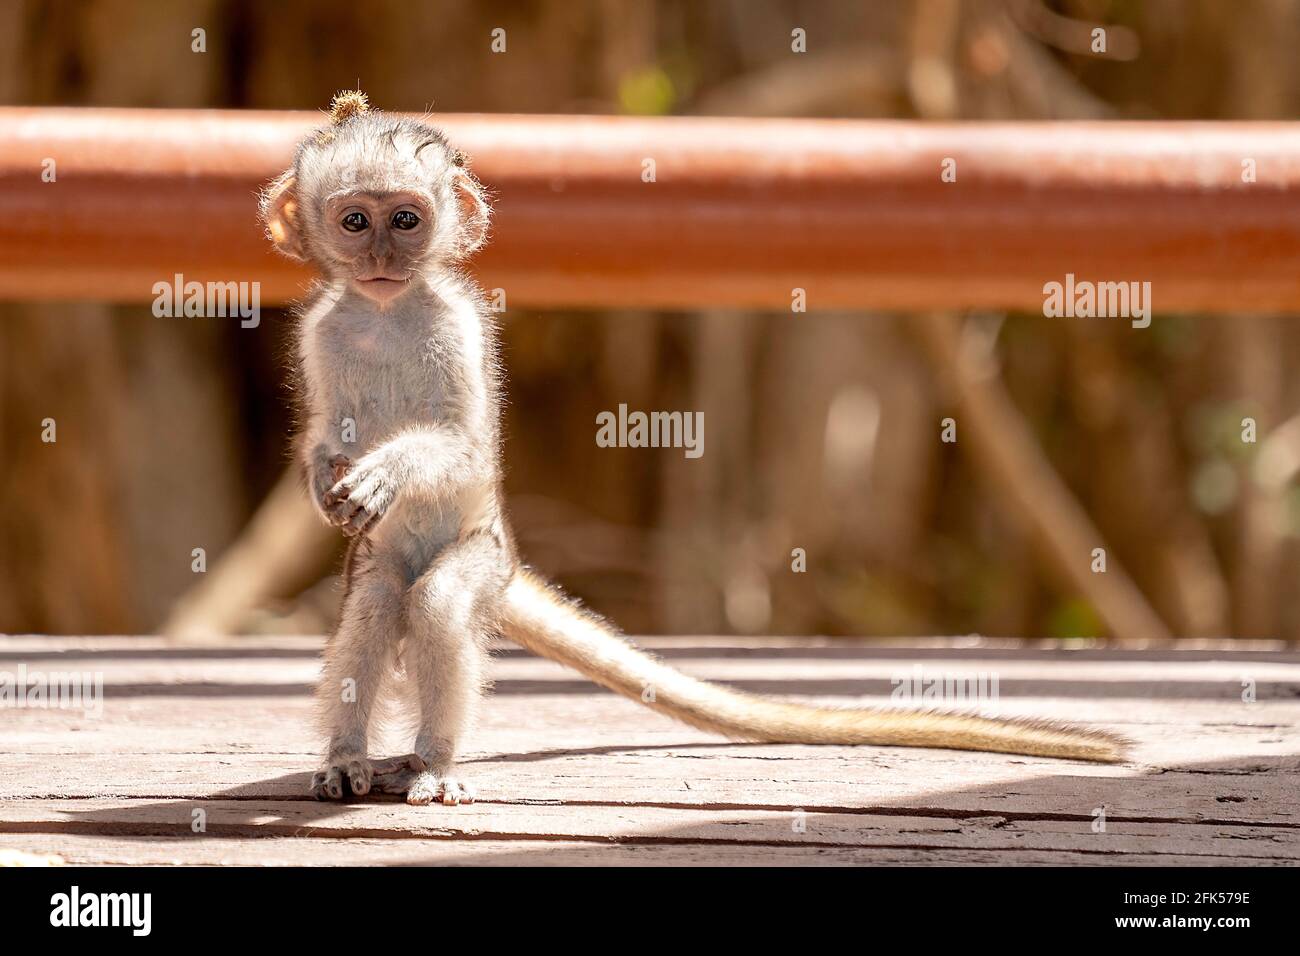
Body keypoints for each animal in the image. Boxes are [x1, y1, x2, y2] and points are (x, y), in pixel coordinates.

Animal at [260, 92, 1125, 806]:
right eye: (356, 221)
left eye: (406, 220)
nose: (382, 259)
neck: (386, 313)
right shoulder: (322, 331)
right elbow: (323, 433)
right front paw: (325, 478)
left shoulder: (456, 325)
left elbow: (468, 451)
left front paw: (388, 471)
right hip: (386, 557)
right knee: (375, 604)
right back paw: (349, 756)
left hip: (485, 556)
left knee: (438, 602)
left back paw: (433, 759)